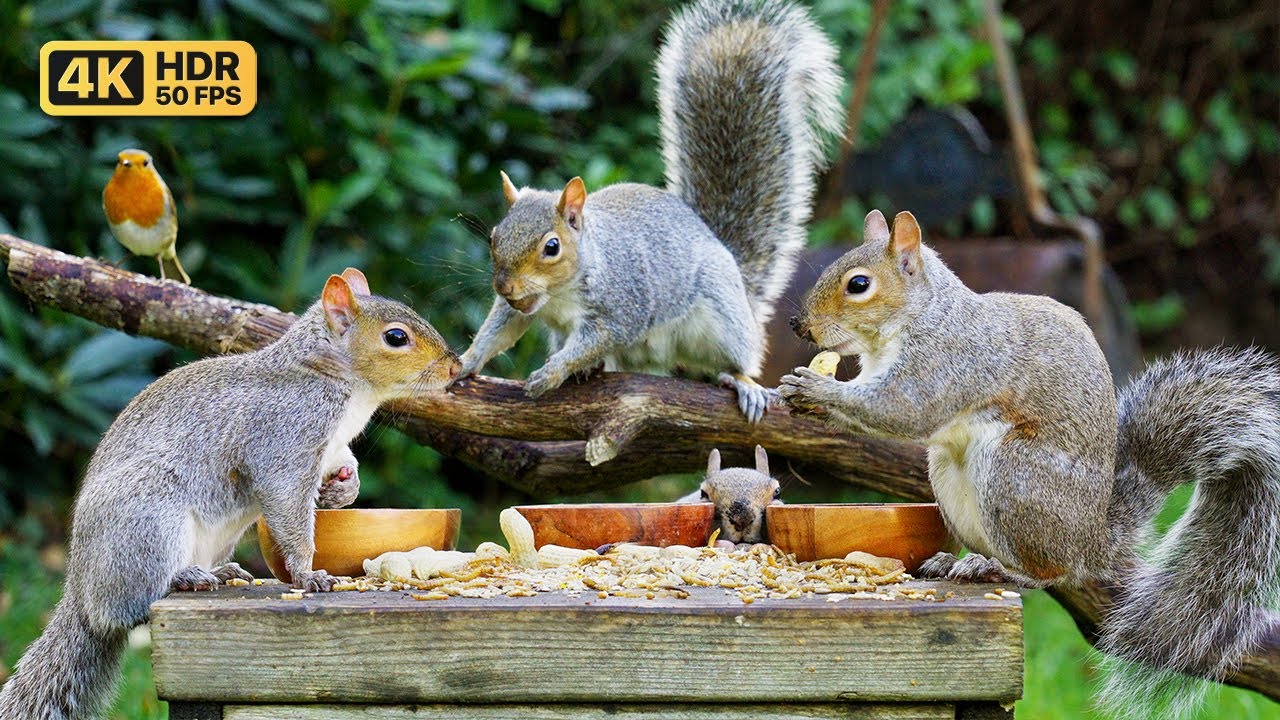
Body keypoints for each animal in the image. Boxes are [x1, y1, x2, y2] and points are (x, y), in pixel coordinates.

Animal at [0, 268, 460, 720]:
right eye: (396, 337)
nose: (455, 368)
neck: (335, 381)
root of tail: (79, 586)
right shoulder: (284, 438)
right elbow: (287, 506)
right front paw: (308, 574)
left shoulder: (331, 445)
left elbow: (342, 464)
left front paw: (344, 487)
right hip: (148, 521)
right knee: (126, 605)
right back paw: (183, 578)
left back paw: (221, 573)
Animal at [455, 0, 843, 428]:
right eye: (494, 237)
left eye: (552, 247)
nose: (504, 287)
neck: (561, 291)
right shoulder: (521, 309)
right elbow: (500, 330)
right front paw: (466, 361)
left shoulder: (623, 306)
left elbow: (596, 338)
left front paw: (553, 372)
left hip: (723, 316)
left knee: (737, 358)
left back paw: (742, 382)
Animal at [780, 209, 1280, 715]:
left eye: (859, 284)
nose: (800, 326)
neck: (920, 316)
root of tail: (1092, 541)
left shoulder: (947, 363)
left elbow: (902, 411)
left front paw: (817, 390)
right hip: (948, 474)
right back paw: (954, 561)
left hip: (1012, 474)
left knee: (1052, 572)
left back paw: (1003, 569)